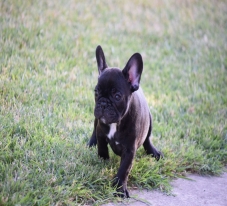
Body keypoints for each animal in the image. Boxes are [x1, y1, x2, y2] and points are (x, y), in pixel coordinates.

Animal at [88, 45, 162, 198]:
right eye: (96, 92)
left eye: (117, 96)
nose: (103, 103)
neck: (116, 123)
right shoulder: (101, 133)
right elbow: (102, 147)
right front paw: (103, 160)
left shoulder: (129, 149)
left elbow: (124, 169)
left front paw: (119, 188)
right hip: (96, 120)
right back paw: (91, 143)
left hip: (150, 120)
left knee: (147, 139)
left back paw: (154, 152)